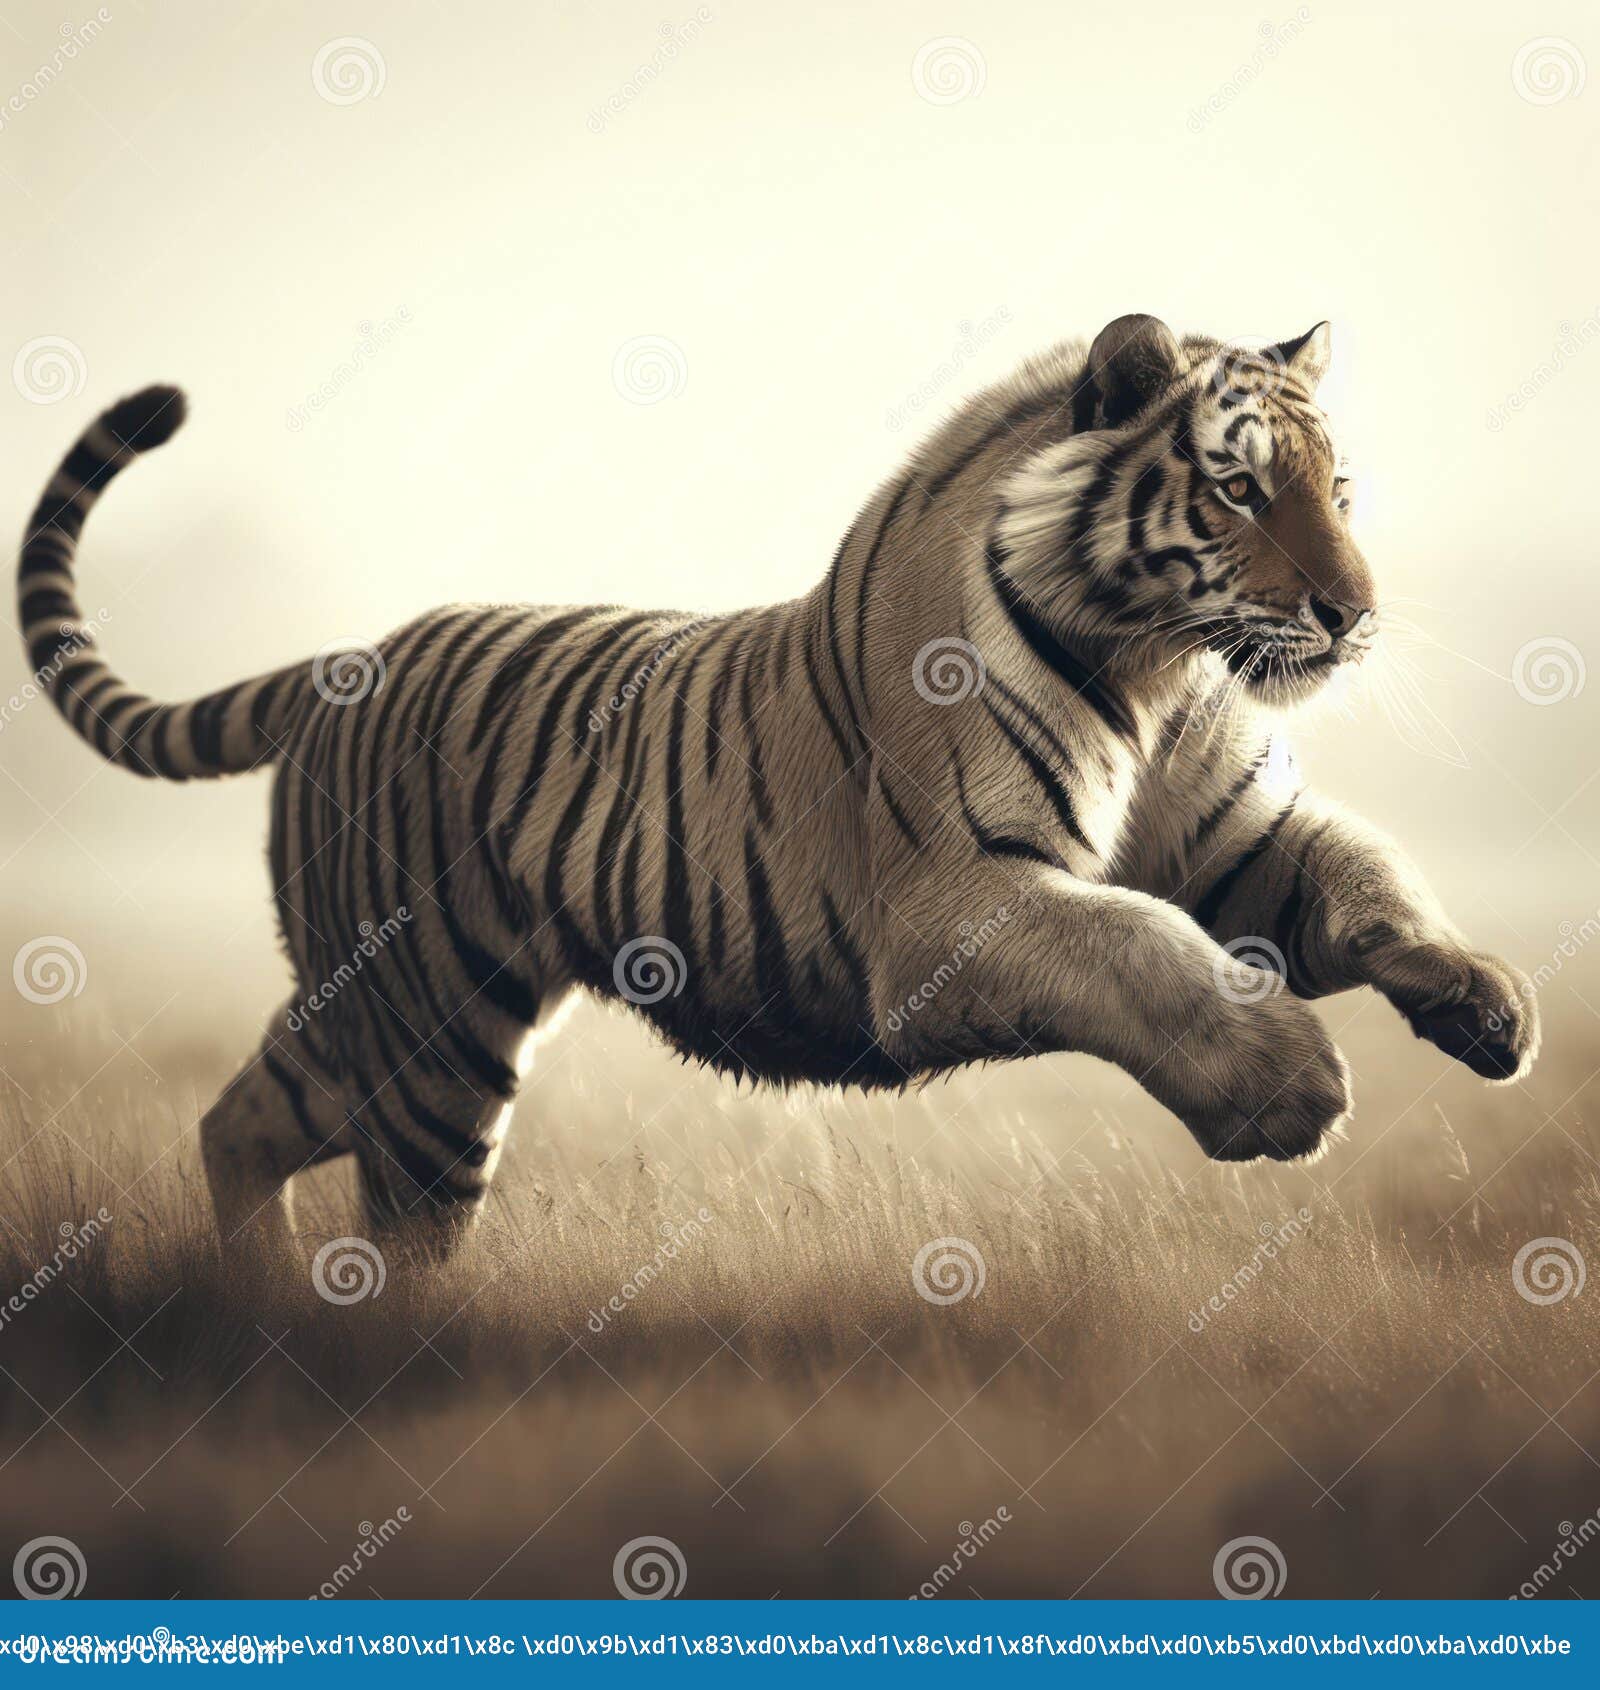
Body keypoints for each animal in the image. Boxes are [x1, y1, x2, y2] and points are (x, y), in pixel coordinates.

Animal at [16, 313, 1540, 1275]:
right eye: (1235, 489)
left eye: (1339, 487)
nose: (1353, 616)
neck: (1162, 661)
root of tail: (349, 655)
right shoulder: (955, 905)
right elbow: (1141, 949)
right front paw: (1286, 1084)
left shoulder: (1243, 846)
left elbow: (1373, 874)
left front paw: (1486, 1002)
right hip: (425, 1039)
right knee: (392, 1231)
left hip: (386, 1006)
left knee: (238, 1118)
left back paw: (255, 1297)